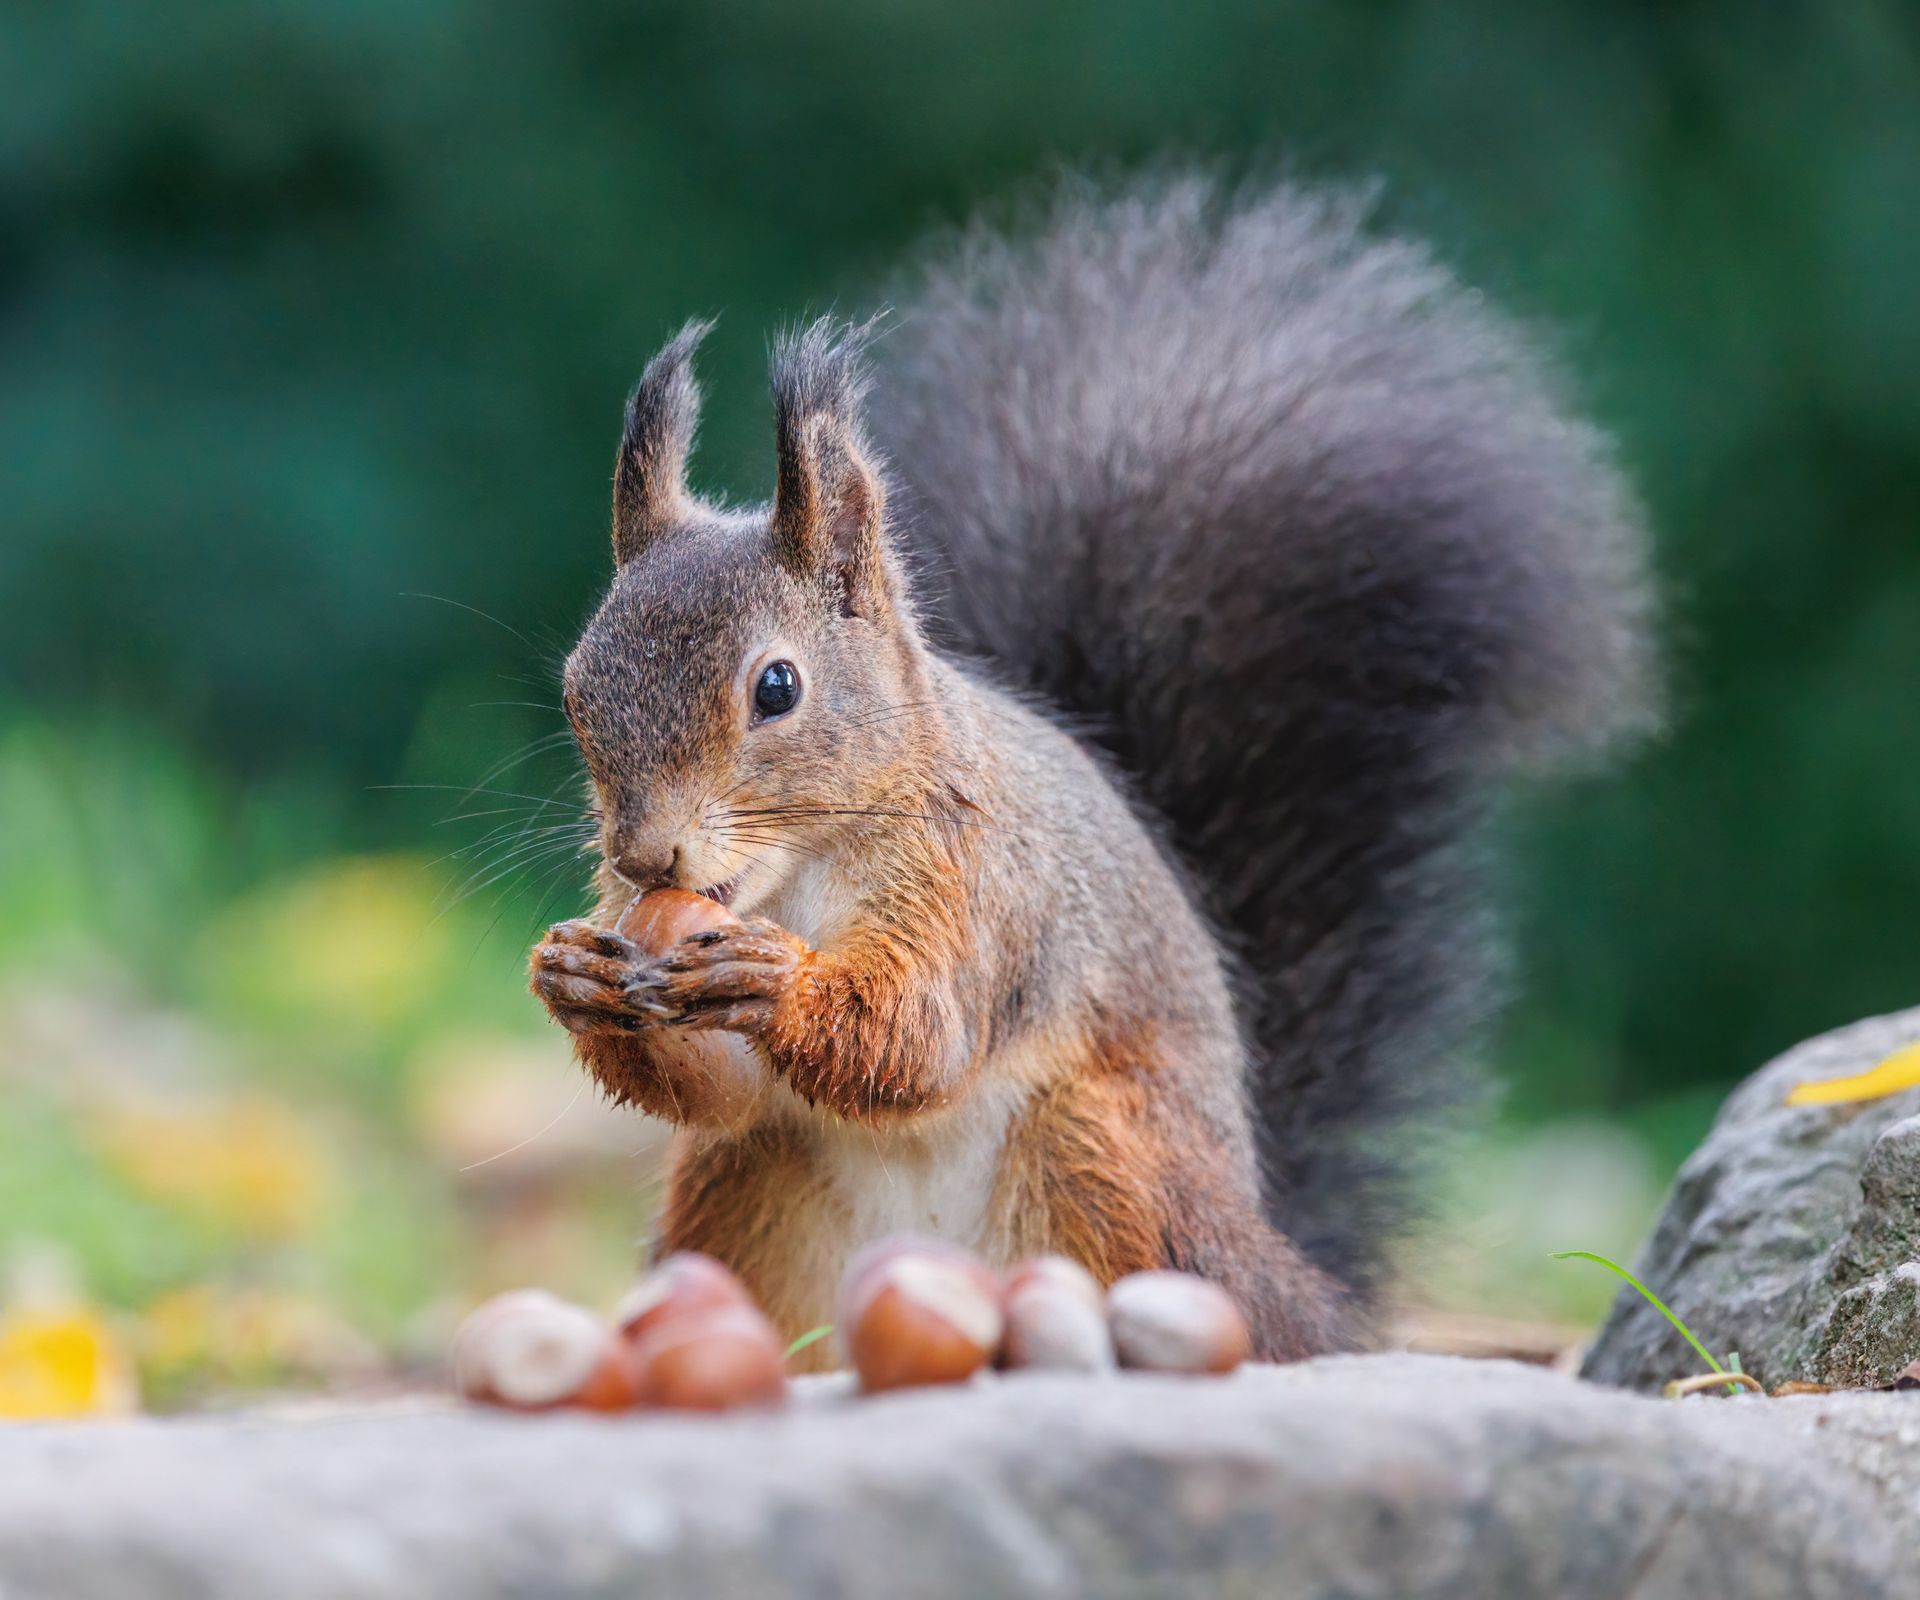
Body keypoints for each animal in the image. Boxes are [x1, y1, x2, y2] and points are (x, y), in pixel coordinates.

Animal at [529, 172, 1656, 1363]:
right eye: (576, 686)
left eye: (777, 688)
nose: (645, 859)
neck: (801, 870)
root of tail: (1287, 1269)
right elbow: (724, 1090)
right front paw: (574, 975)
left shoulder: (982, 891)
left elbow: (919, 1035)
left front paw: (770, 977)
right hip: (745, 1197)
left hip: (1102, 1155)